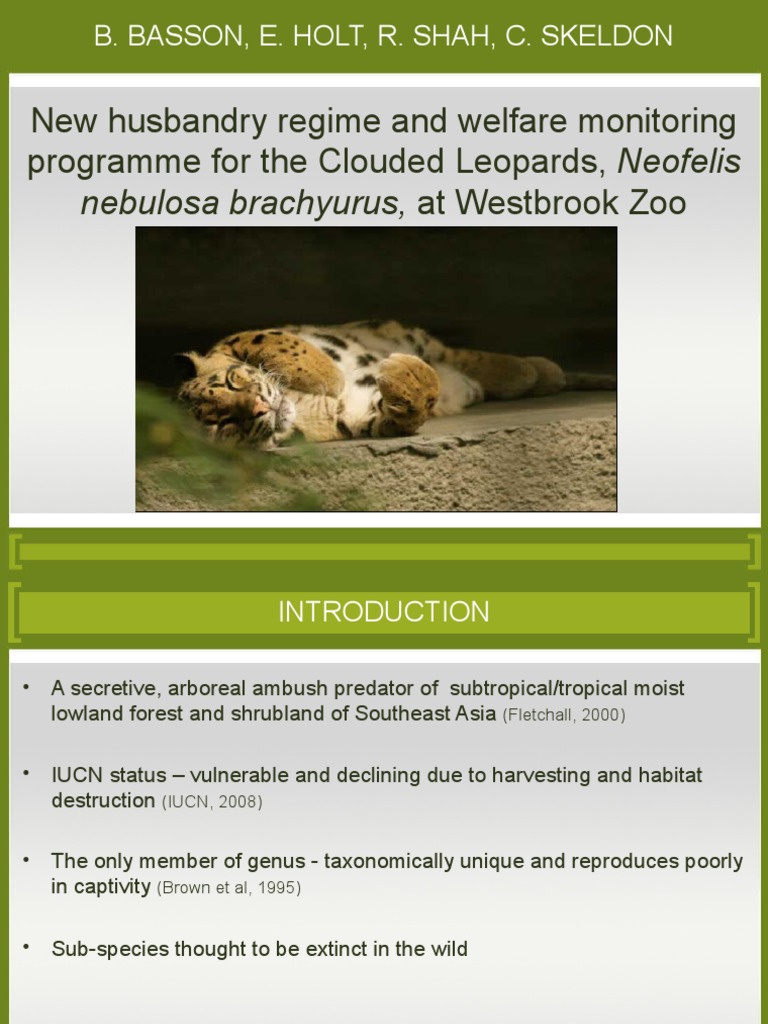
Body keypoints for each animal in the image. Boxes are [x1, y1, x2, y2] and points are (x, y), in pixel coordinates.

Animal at [178, 320, 615, 448]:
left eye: (233, 381)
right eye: (222, 424)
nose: (262, 407)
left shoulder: (230, 341)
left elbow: (272, 340)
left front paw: (331, 372)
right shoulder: (348, 417)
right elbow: (404, 415)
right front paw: (405, 380)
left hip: (406, 333)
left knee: (460, 355)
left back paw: (537, 370)